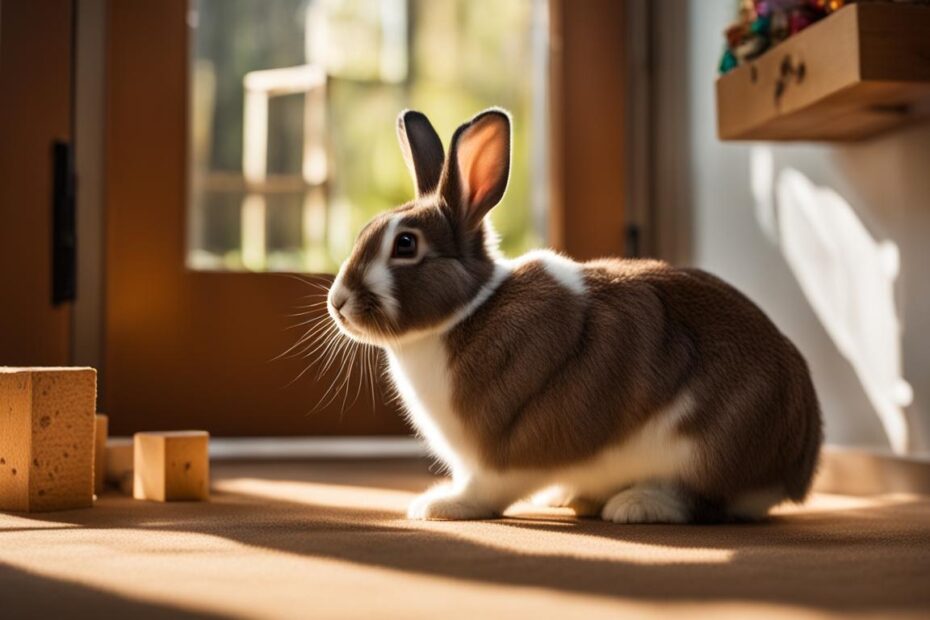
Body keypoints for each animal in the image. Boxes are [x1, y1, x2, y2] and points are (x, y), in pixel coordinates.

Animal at [327, 107, 823, 523]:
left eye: (405, 245)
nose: (338, 302)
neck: (468, 310)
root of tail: (800, 456)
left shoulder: (501, 454)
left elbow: (486, 488)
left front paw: (440, 506)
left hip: (699, 446)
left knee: (701, 497)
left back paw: (636, 505)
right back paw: (570, 497)